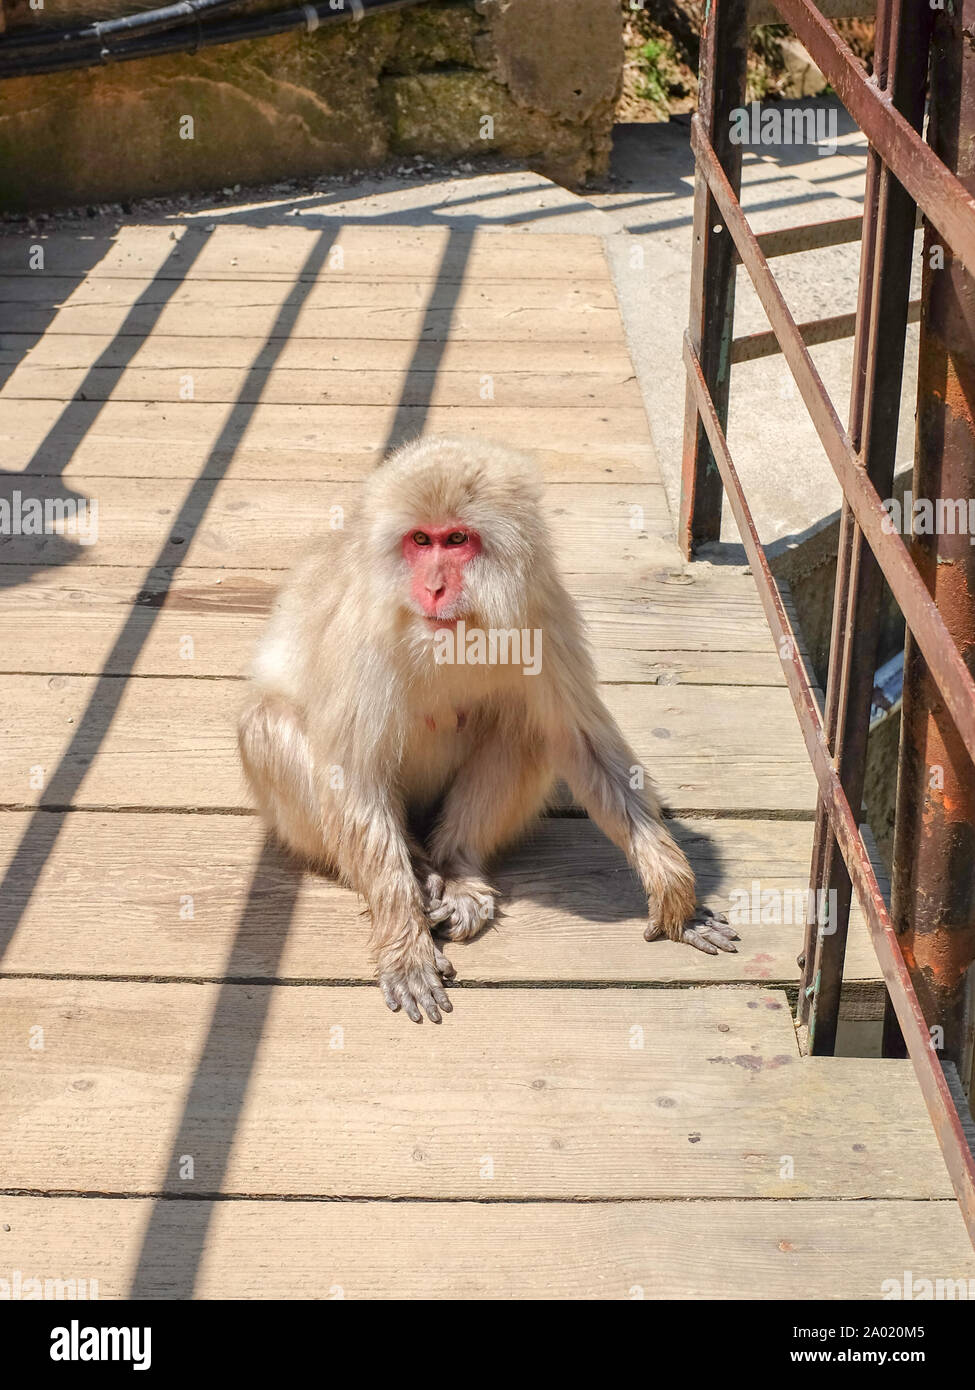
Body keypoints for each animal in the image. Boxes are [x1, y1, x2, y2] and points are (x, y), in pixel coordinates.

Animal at [238, 436, 737, 1023]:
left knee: (526, 724)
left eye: (457, 540)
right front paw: (406, 947)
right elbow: (352, 773)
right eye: (420, 540)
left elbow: (582, 743)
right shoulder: (360, 632)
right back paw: (416, 867)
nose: (433, 587)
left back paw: (456, 871)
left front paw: (676, 895)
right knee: (267, 724)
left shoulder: (541, 616)